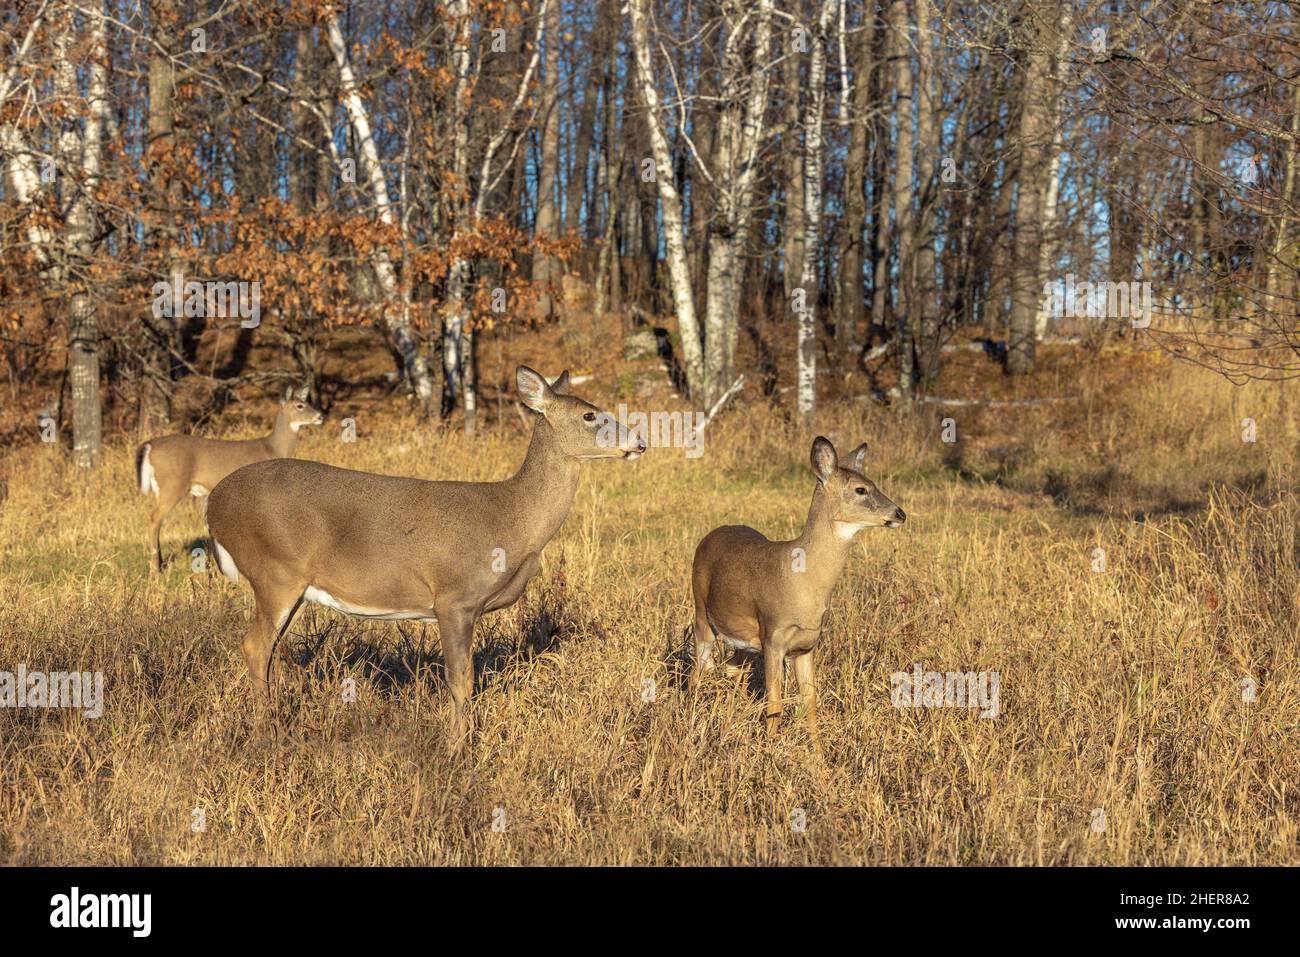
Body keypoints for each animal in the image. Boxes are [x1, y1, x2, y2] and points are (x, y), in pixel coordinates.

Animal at [137, 385, 323, 573]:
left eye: (306, 402)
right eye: (300, 406)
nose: (320, 416)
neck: (272, 449)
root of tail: (149, 445)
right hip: (172, 484)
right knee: (154, 518)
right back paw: (155, 570)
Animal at [204, 366, 645, 746]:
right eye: (590, 414)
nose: (640, 442)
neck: (511, 518)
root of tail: (213, 504)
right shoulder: (454, 597)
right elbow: (460, 680)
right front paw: (457, 748)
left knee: (272, 649)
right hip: (275, 570)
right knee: (254, 646)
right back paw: (266, 735)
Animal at [690, 436, 905, 757]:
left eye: (873, 483)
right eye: (861, 489)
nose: (899, 513)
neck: (804, 582)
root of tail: (708, 536)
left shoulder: (806, 645)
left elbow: (810, 703)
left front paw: (819, 759)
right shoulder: (773, 637)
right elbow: (775, 704)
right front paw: (769, 755)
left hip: (740, 638)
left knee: (730, 668)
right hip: (701, 613)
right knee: (698, 670)